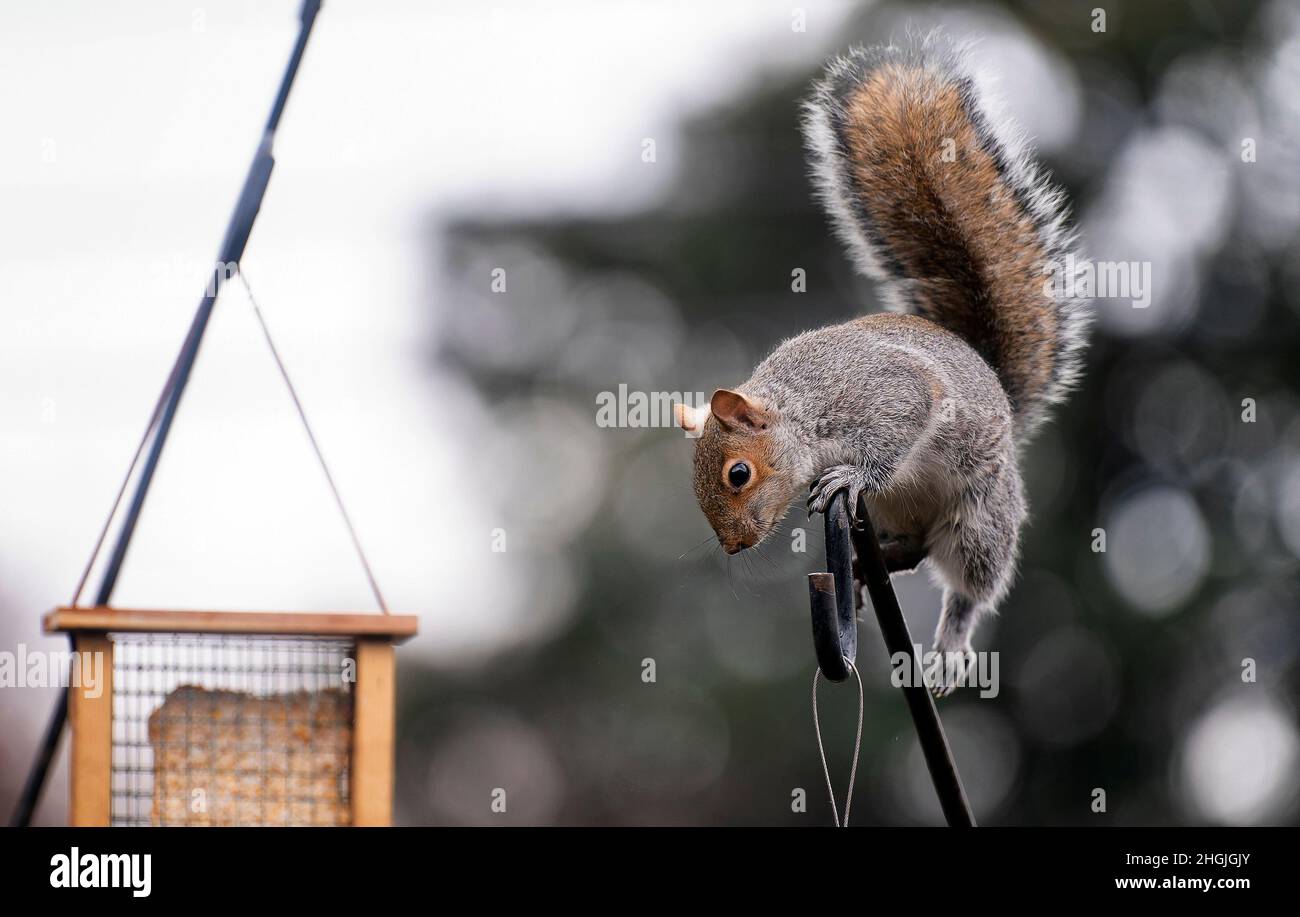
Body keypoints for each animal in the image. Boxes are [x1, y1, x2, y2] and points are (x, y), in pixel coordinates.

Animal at [673, 36, 1089, 690]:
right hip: (903, 517)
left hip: (981, 513)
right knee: (914, 549)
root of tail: (1001, 396)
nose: (734, 546)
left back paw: (949, 640)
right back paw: (868, 569)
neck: (803, 404)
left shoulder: (884, 393)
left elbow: (897, 428)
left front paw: (849, 475)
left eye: (738, 474)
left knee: (972, 579)